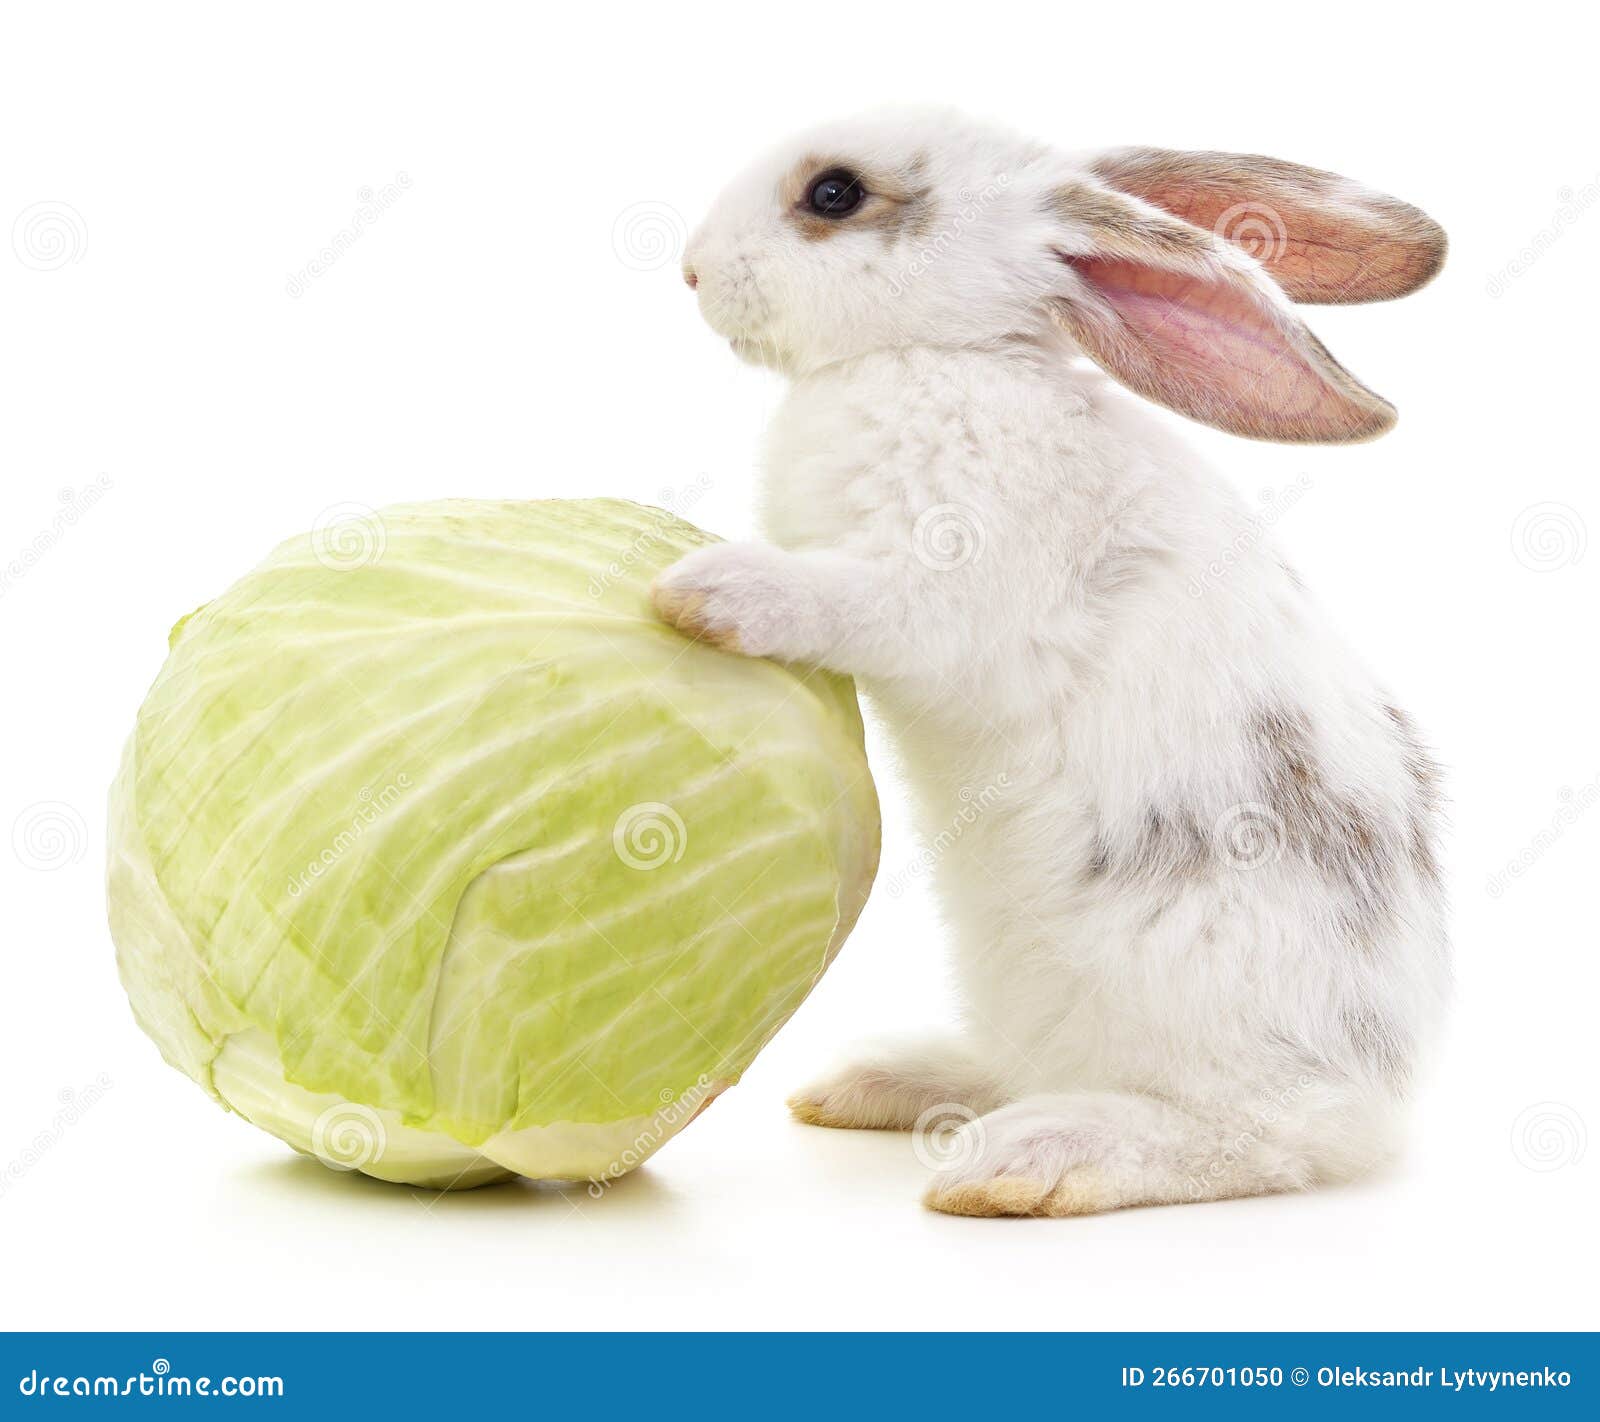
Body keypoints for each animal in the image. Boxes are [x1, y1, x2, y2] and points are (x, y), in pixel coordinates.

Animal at [651, 110, 1449, 1217]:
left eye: (834, 195)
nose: (689, 268)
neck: (942, 353)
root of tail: (1386, 1083)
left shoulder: (931, 590)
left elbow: (845, 601)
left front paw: (711, 590)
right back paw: (885, 1081)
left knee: (1263, 1137)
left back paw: (1031, 1159)